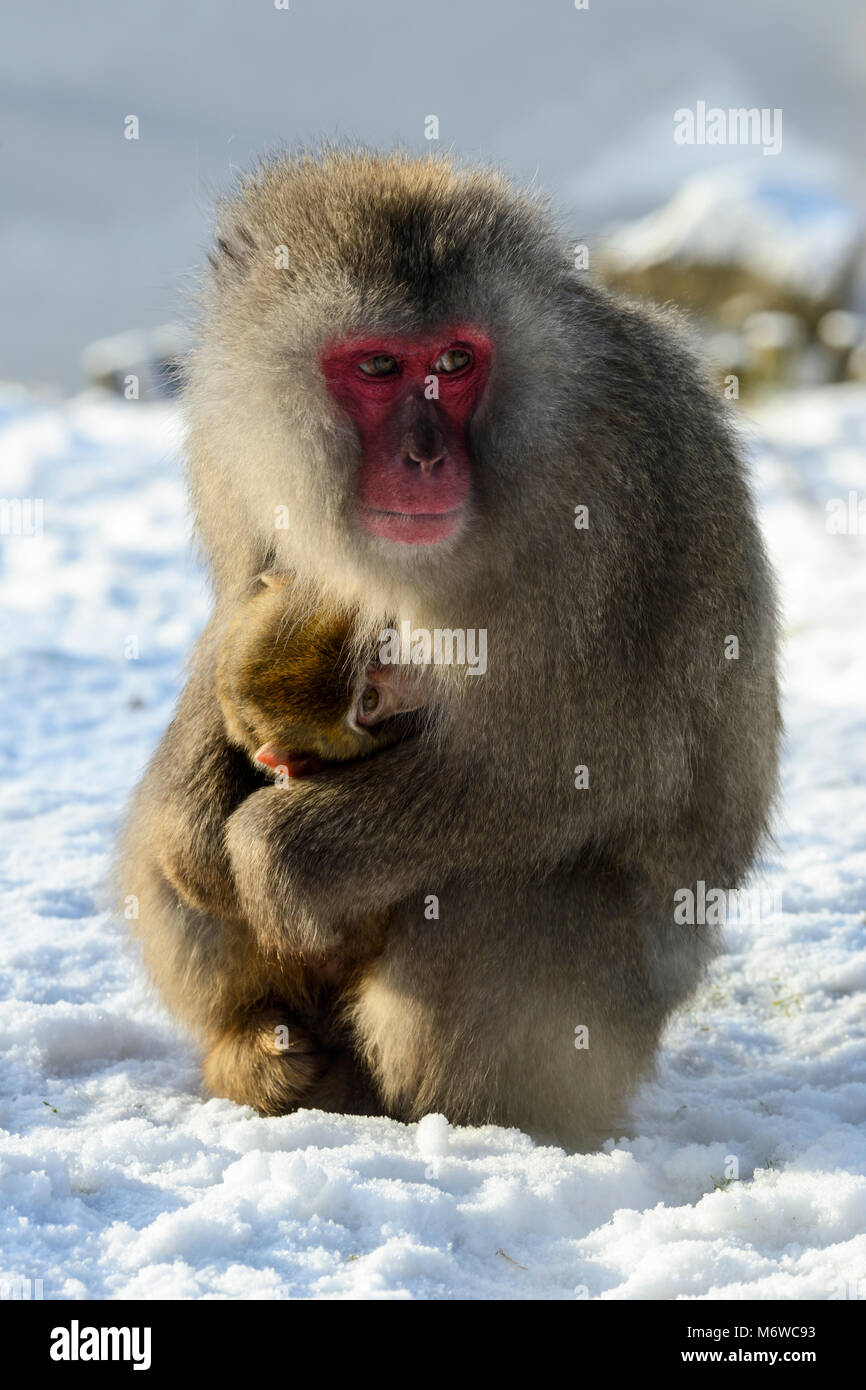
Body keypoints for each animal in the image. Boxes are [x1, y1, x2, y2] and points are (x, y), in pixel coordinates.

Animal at [118, 148, 780, 1147]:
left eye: (457, 362)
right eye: (379, 366)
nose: (428, 459)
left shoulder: (608, 498)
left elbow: (592, 764)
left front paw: (276, 854)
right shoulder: (233, 455)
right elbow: (239, 614)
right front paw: (194, 829)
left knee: (504, 895)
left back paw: (462, 1119)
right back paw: (260, 1048)